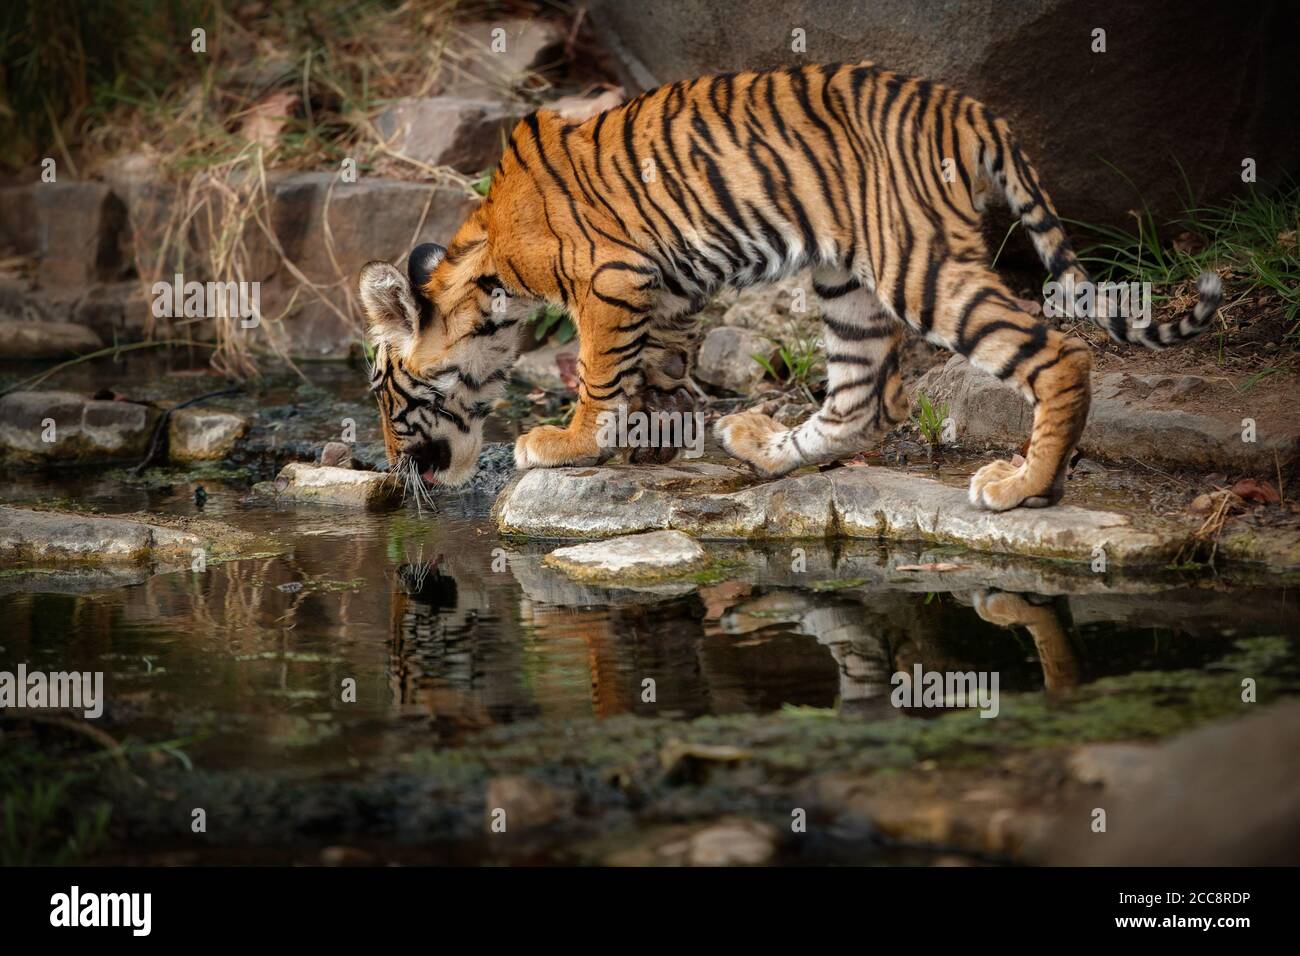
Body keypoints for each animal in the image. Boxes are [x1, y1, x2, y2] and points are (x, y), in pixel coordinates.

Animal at [358, 61, 1221, 510]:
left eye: (385, 395)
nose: (394, 468)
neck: (490, 269)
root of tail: (971, 110)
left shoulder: (612, 278)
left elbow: (602, 377)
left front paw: (568, 442)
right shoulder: (668, 288)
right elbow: (656, 365)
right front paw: (651, 439)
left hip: (919, 264)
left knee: (1058, 352)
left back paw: (1024, 485)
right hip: (848, 283)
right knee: (859, 404)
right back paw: (761, 448)